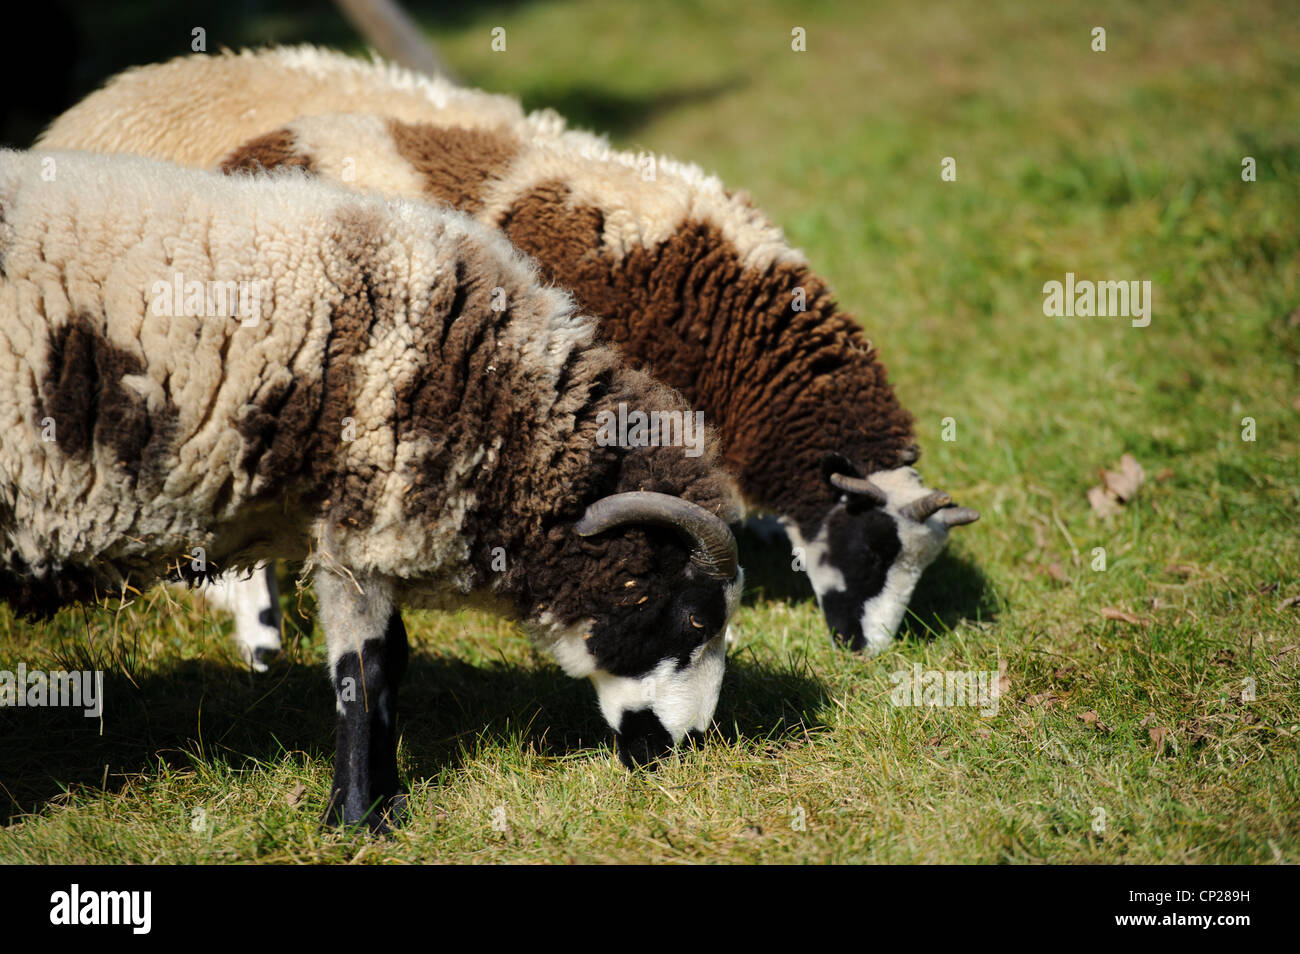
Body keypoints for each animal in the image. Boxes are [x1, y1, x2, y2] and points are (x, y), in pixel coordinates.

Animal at [0, 148, 745, 830]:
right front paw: (359, 816)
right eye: (697, 618)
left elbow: (390, 661)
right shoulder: (358, 516)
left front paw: (384, 800)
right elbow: (368, 668)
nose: (684, 750)